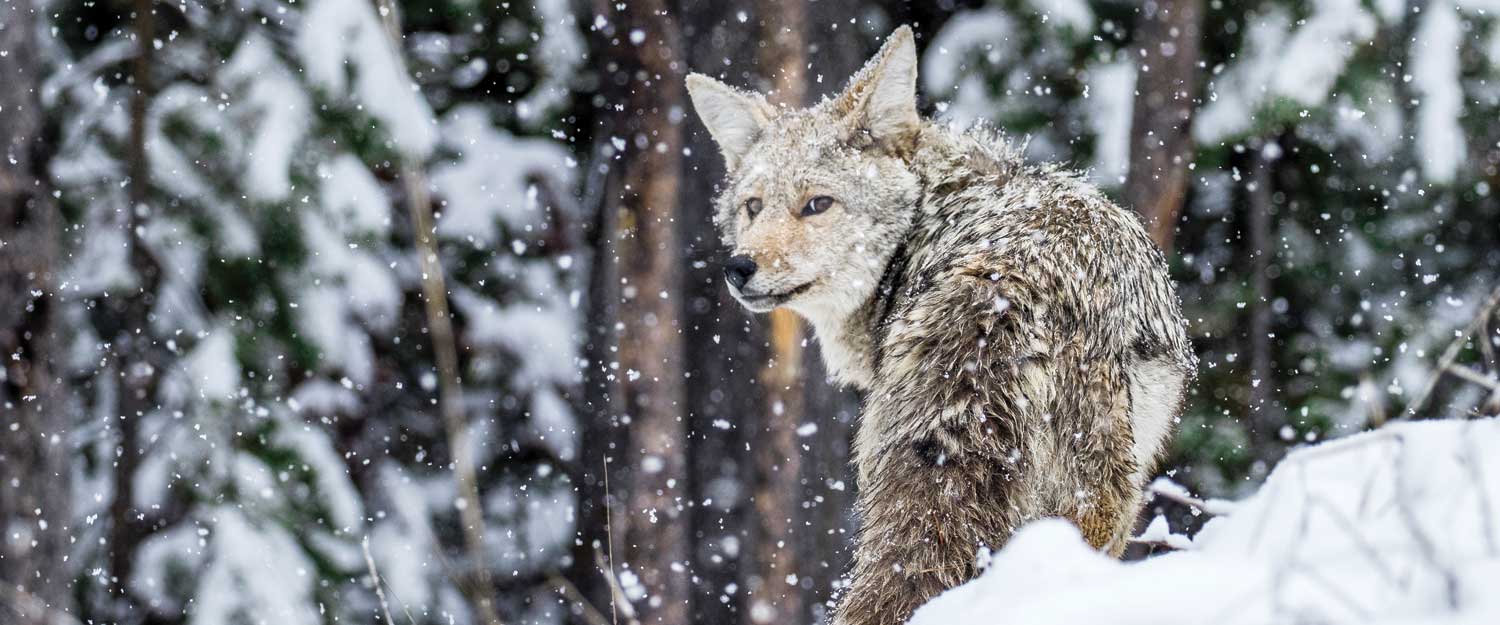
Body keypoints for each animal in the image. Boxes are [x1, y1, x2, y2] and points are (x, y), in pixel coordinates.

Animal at [686, 25, 1196, 625]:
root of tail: (1008, 293)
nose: (740, 268)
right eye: (753, 206)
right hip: (1102, 497)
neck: (928, 212)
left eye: (817, 204)